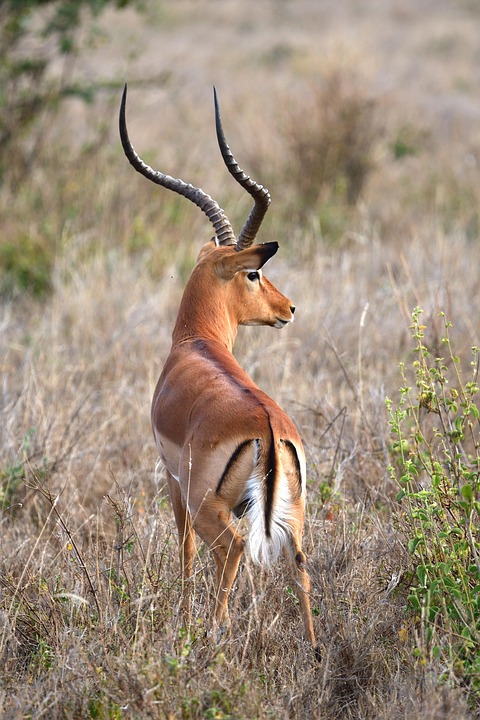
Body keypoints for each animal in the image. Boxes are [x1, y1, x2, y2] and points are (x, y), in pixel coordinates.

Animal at [119, 85, 318, 658]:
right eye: (253, 274)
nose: (289, 308)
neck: (195, 343)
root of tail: (270, 429)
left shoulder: (171, 481)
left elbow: (183, 551)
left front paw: (183, 619)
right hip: (294, 514)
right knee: (300, 566)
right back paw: (315, 654)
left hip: (214, 509)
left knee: (229, 551)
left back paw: (209, 635)